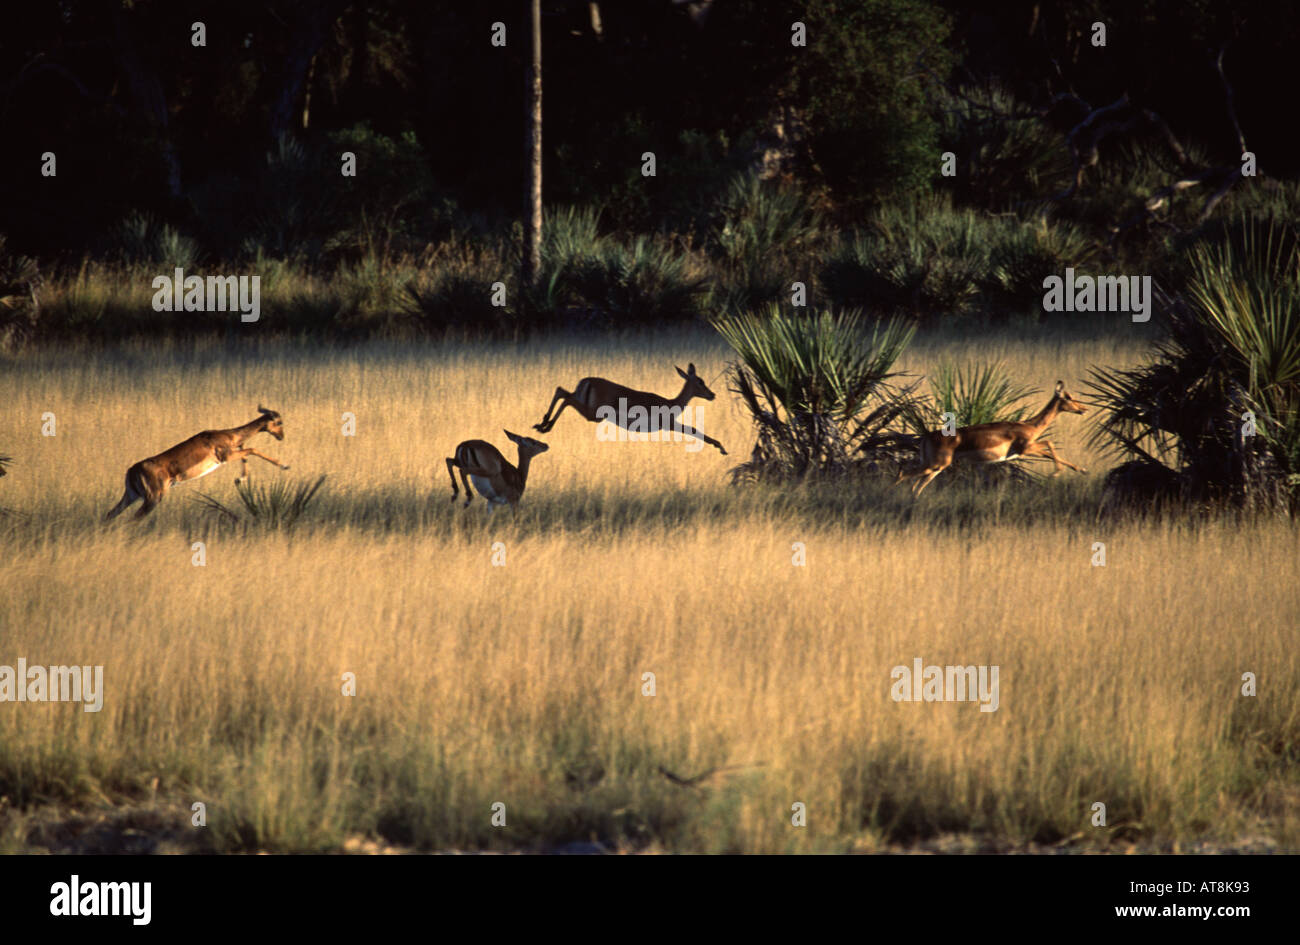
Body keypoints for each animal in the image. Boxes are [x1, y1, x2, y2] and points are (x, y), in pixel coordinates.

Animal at [105, 406, 289, 520]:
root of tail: (131, 470)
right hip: (153, 498)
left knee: (110, 514)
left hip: (131, 496)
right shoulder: (225, 456)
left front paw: (239, 480)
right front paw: (284, 465)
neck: (228, 435)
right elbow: (252, 450)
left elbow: (247, 454)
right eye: (278, 422)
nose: (281, 436)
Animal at [533, 362, 727, 454]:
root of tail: (586, 381)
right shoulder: (670, 425)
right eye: (700, 382)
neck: (671, 404)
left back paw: (541, 425)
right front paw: (722, 448)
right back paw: (545, 426)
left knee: (561, 390)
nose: (712, 395)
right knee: (566, 398)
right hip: (593, 414)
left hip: (586, 407)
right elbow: (694, 430)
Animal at [896, 381, 1089, 498]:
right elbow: (1049, 443)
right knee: (903, 475)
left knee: (915, 486)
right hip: (936, 465)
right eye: (1068, 397)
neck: (1030, 426)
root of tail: (926, 437)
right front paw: (1056, 473)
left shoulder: (1021, 453)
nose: (1084, 409)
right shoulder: (1025, 448)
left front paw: (1082, 469)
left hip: (935, 467)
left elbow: (1049, 451)